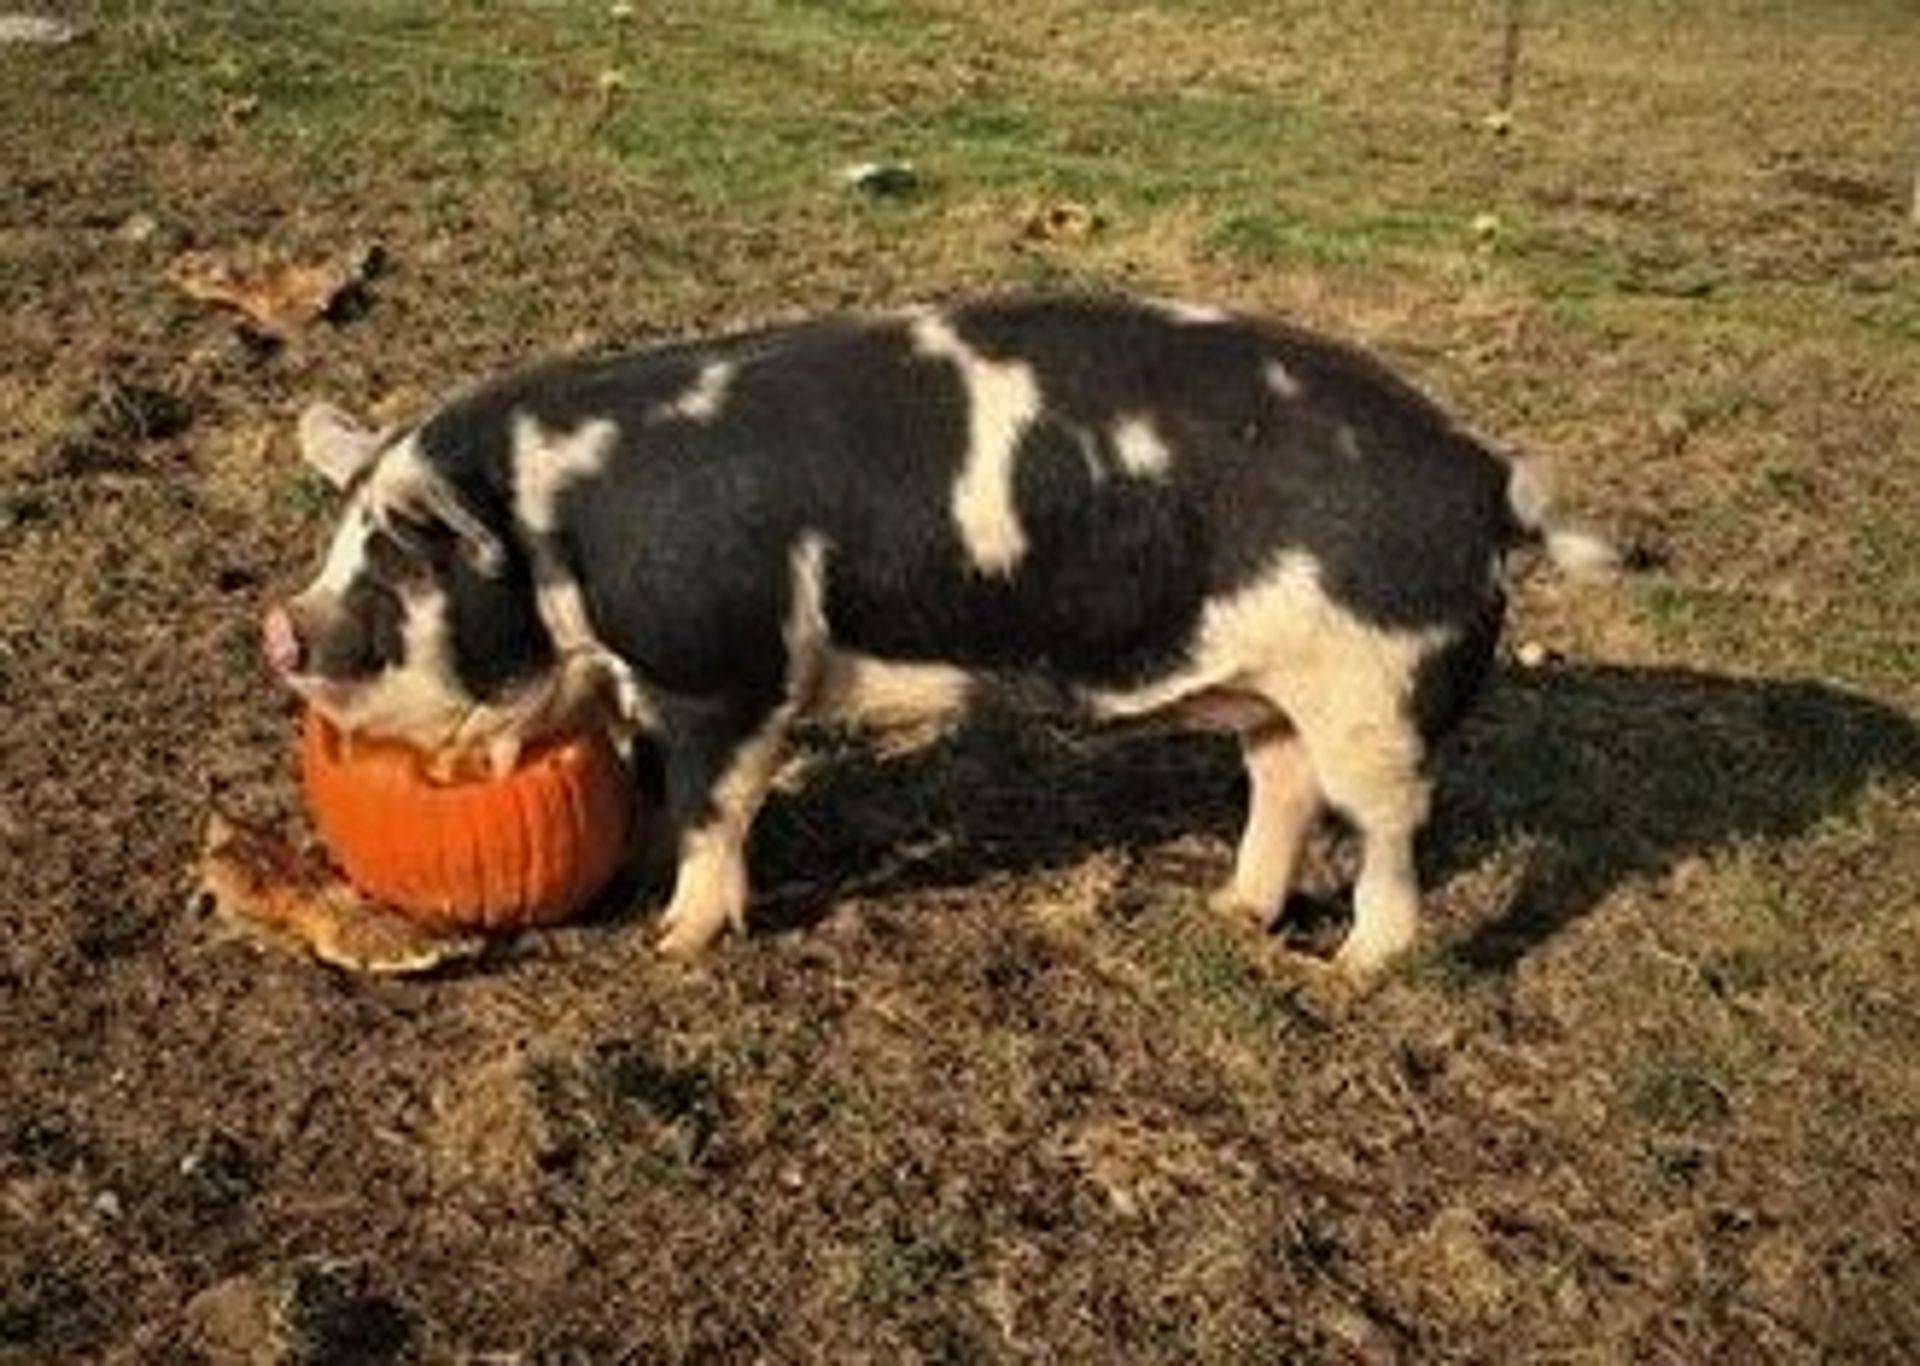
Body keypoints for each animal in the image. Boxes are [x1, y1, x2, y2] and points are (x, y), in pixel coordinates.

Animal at [265, 294, 1611, 975]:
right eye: (346, 534)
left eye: (396, 556)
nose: (282, 629)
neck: (567, 519)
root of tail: (1488, 483)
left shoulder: (733, 668)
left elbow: (712, 804)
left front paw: (675, 939)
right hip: (1275, 690)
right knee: (1279, 786)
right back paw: (1230, 913)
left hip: (1375, 696)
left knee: (1388, 832)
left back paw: (1357, 970)